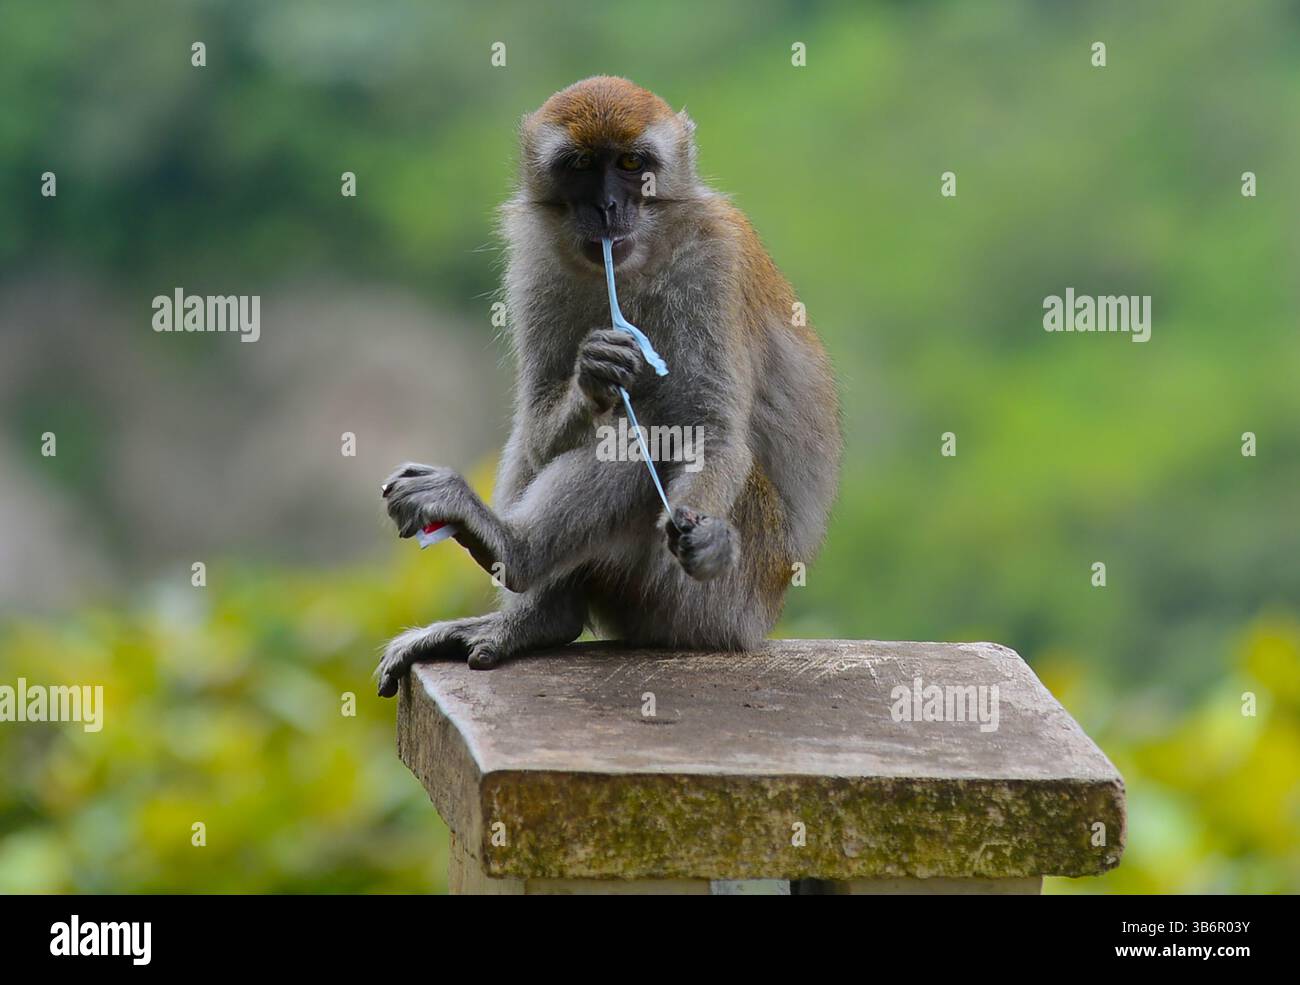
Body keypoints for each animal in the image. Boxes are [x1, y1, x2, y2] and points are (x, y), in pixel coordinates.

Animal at [376, 76, 840, 696]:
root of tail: (761, 622)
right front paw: (594, 369)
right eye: (580, 165)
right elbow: (539, 427)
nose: (607, 206)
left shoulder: (712, 263)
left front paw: (710, 537)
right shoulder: (535, 262)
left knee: (653, 433)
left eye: (630, 164)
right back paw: (538, 611)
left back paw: (514, 550)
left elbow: (711, 433)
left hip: (721, 600)